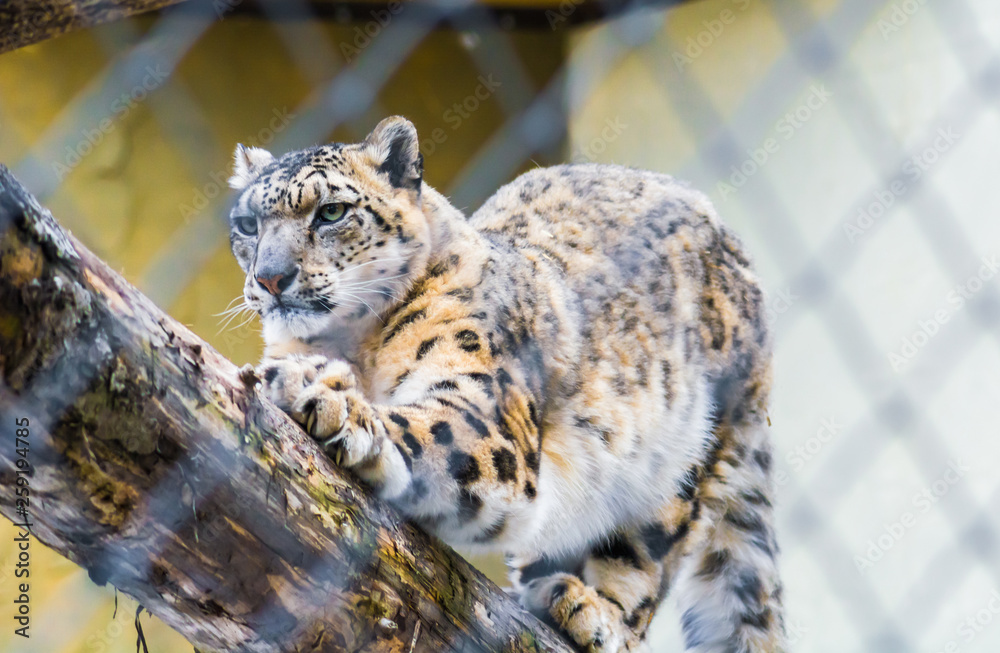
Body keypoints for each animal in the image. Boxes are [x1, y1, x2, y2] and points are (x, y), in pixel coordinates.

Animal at [226, 116, 786, 653]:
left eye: (331, 212)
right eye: (248, 224)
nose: (271, 277)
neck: (352, 341)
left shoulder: (486, 411)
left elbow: (431, 426)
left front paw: (335, 405)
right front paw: (309, 376)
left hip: (684, 466)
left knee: (645, 562)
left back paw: (592, 612)